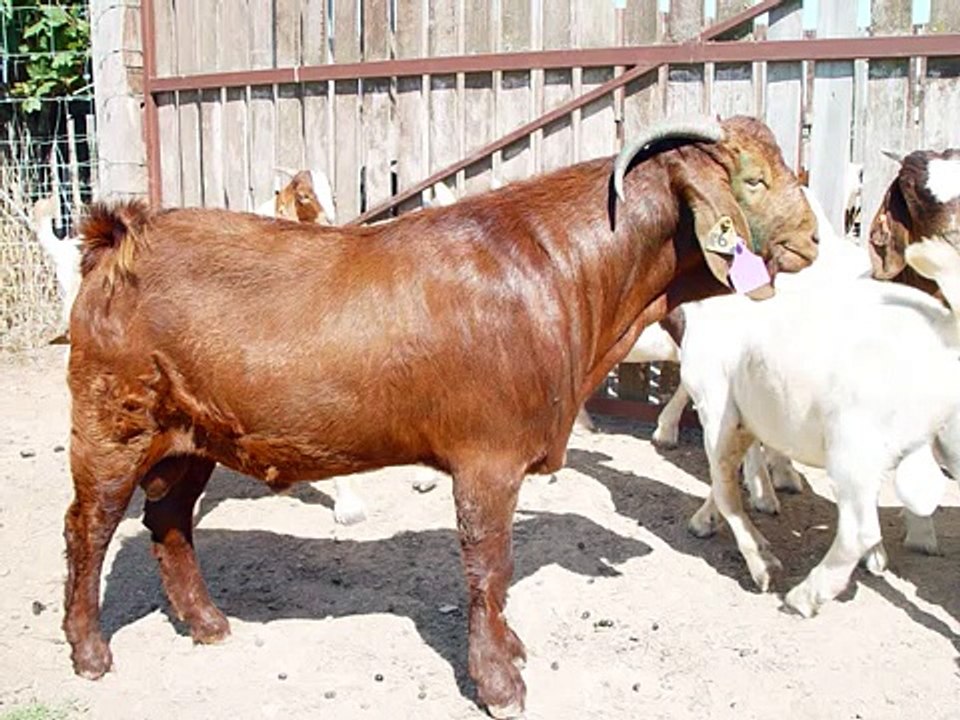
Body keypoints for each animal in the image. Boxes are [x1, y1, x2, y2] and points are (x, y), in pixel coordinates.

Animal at [63, 115, 816, 717]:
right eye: (750, 180)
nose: (811, 238)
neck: (558, 271)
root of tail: (120, 237)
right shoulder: (488, 458)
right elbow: (489, 566)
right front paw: (500, 683)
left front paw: (511, 650)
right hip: (112, 425)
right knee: (89, 528)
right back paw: (90, 653)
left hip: (190, 438)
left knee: (168, 518)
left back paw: (207, 622)